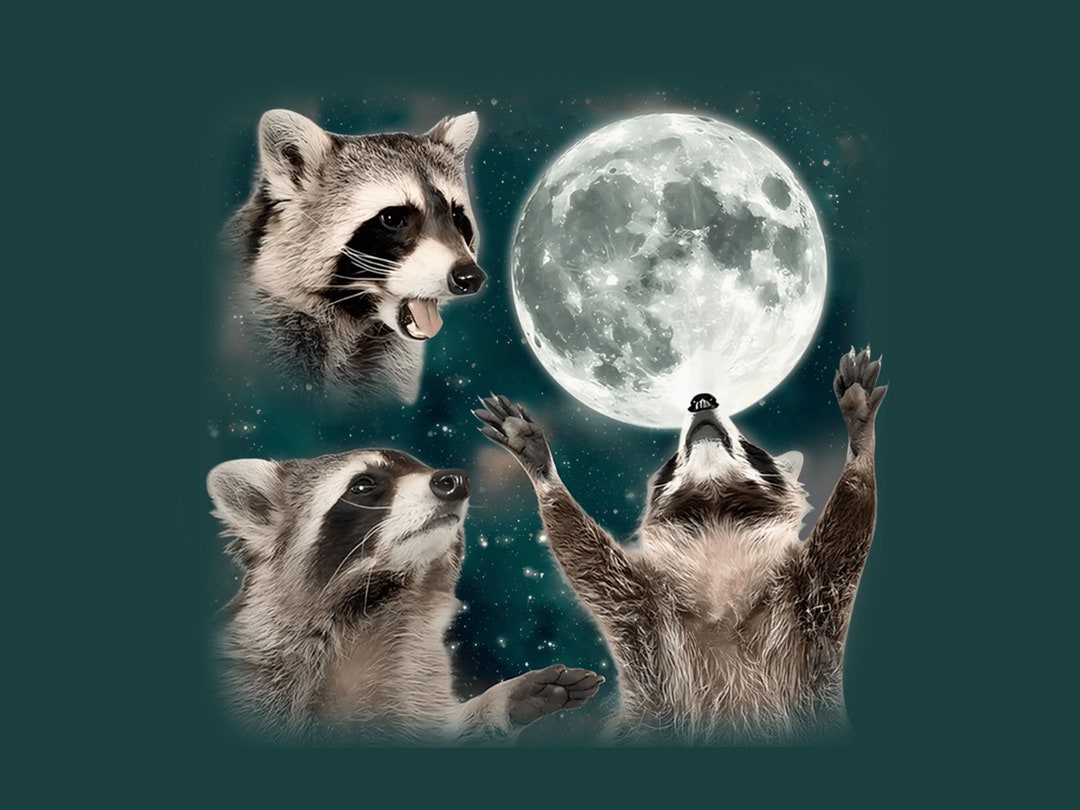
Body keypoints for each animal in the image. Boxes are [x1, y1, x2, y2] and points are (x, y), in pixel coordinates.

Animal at [207, 449, 602, 744]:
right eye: (363, 484)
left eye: (424, 468)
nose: (455, 480)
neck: (376, 603)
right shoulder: (257, 668)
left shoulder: (410, 678)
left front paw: (498, 701)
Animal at [475, 347, 887, 744]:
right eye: (674, 457)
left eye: (748, 443)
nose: (702, 399)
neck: (717, 524)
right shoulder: (642, 609)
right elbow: (587, 558)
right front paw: (542, 469)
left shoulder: (812, 596)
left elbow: (846, 534)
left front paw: (860, 437)